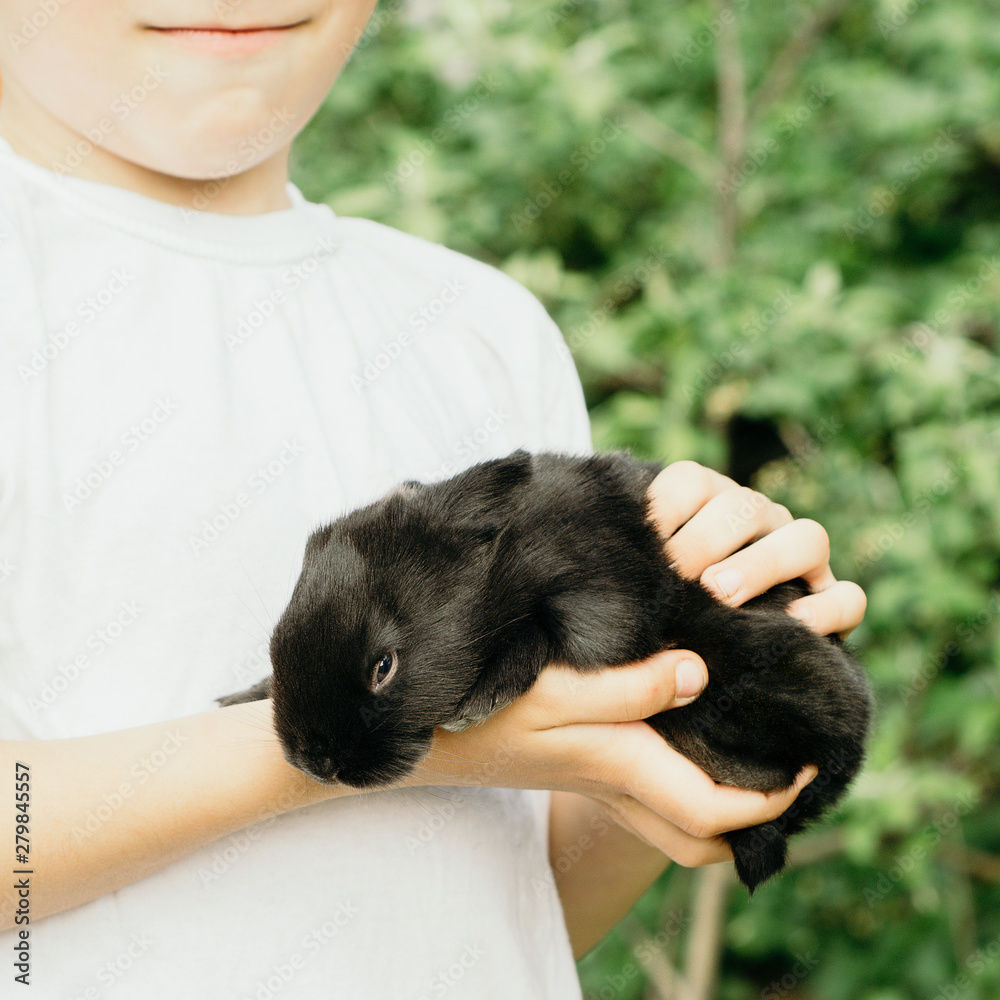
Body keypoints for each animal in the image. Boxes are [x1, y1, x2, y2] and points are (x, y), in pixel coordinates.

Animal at [220, 449, 873, 892]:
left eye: (383, 665)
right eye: (276, 642)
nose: (316, 761)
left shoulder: (606, 599)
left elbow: (543, 630)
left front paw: (479, 700)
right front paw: (237, 697)